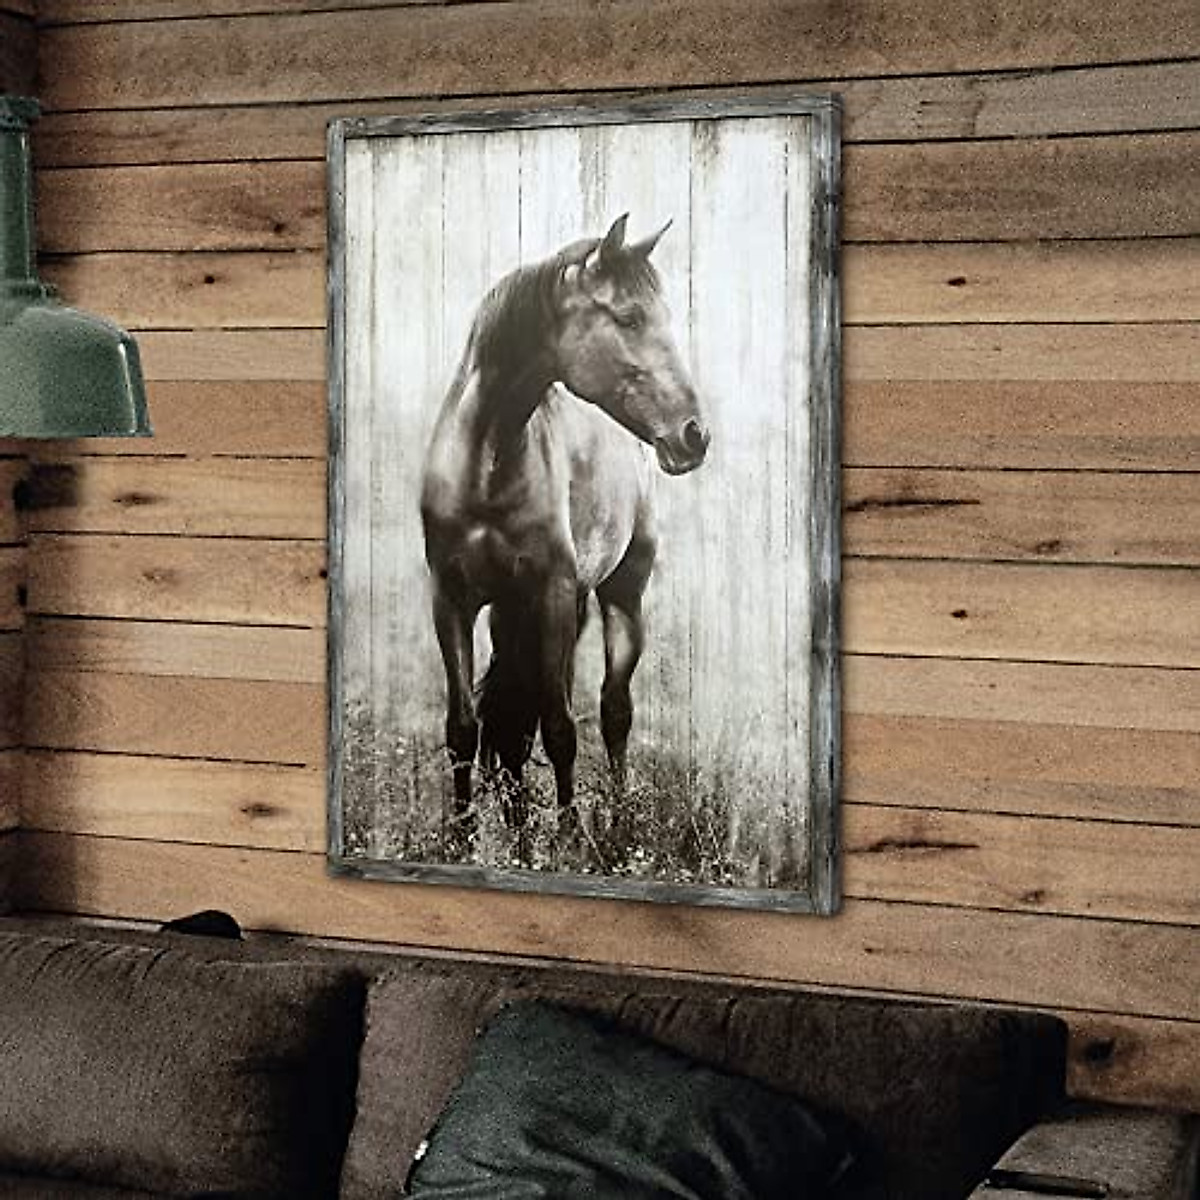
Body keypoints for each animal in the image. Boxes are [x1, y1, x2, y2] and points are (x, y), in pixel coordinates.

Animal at [420, 214, 710, 843]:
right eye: (629, 318)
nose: (694, 435)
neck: (487, 462)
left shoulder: (551, 595)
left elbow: (560, 727)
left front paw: (569, 838)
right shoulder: (451, 599)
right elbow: (464, 726)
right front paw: (464, 836)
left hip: (618, 597)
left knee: (613, 711)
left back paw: (617, 822)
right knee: (512, 719)